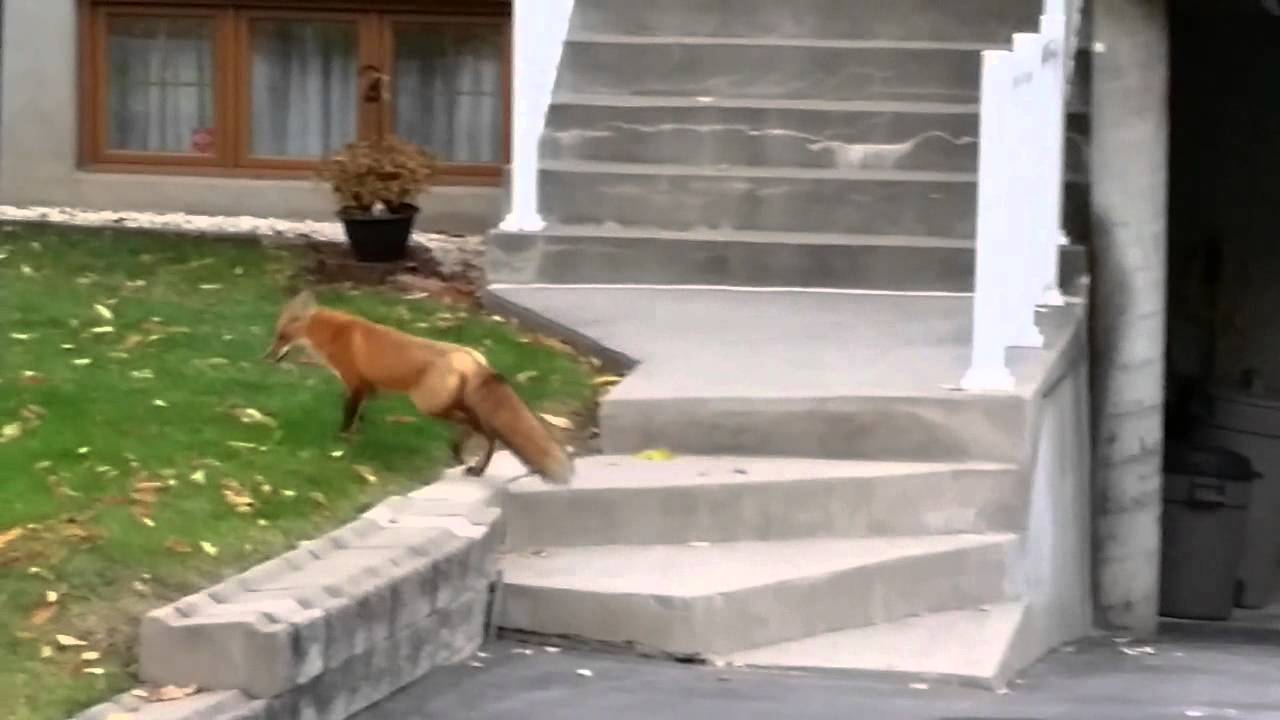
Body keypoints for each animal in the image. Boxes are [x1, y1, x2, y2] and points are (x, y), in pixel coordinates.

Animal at [262, 290, 573, 485]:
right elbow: (360, 417)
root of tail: (470, 357)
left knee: (484, 429)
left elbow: (348, 416)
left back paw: (464, 456)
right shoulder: (369, 389)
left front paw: (342, 441)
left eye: (281, 337)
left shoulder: (356, 384)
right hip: (452, 404)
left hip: (429, 406)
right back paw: (471, 461)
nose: (265, 357)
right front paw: (357, 437)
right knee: (485, 431)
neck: (335, 334)